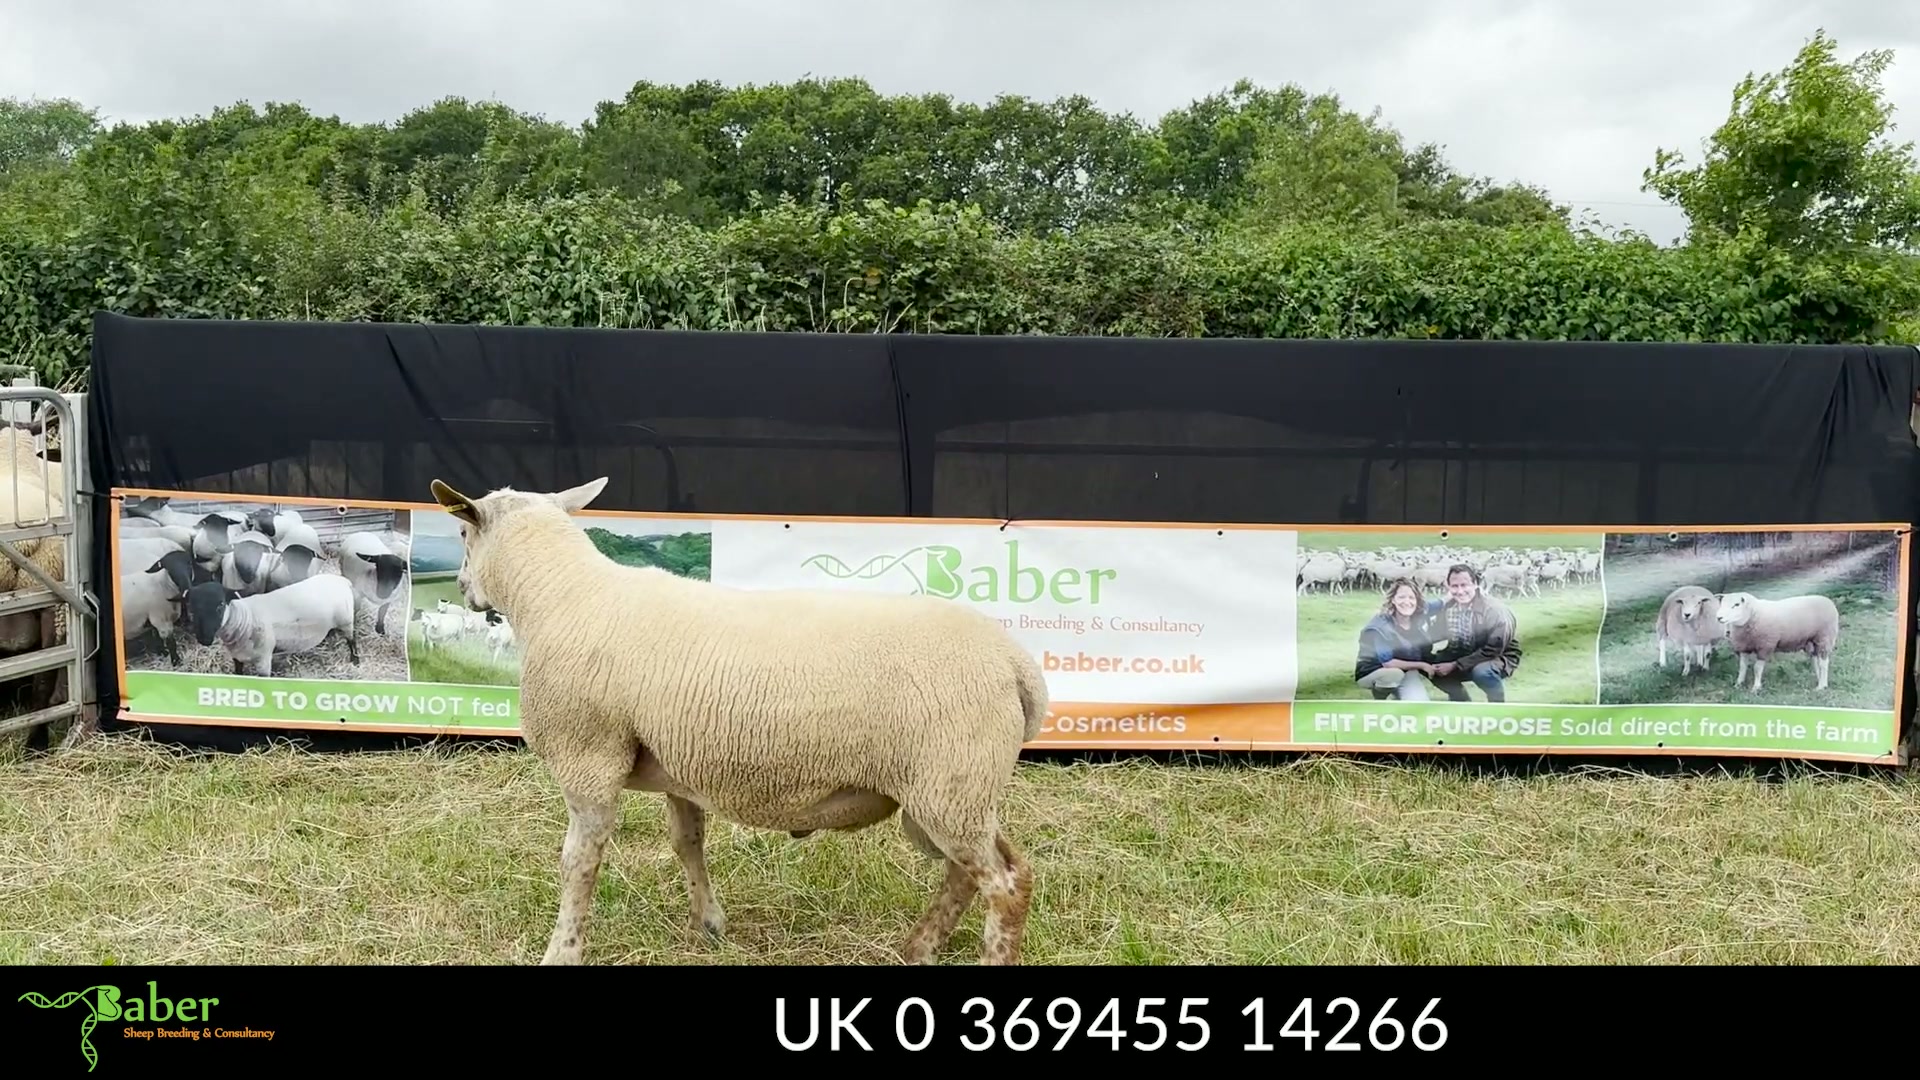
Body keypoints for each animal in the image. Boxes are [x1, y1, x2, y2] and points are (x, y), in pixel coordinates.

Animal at [184, 573, 360, 677]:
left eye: (220, 605)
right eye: (191, 607)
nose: (204, 639)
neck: (244, 618)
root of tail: (342, 580)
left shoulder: (263, 659)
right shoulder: (237, 655)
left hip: (346, 619)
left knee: (352, 640)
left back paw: (355, 661)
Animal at [428, 475, 1046, 967]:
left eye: (461, 533)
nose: (459, 587)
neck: (560, 596)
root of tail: (1016, 665)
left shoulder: (589, 761)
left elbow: (577, 865)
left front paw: (563, 951)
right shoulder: (677, 766)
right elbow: (687, 843)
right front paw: (708, 925)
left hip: (948, 786)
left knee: (1007, 885)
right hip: (954, 793)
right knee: (975, 872)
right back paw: (918, 947)